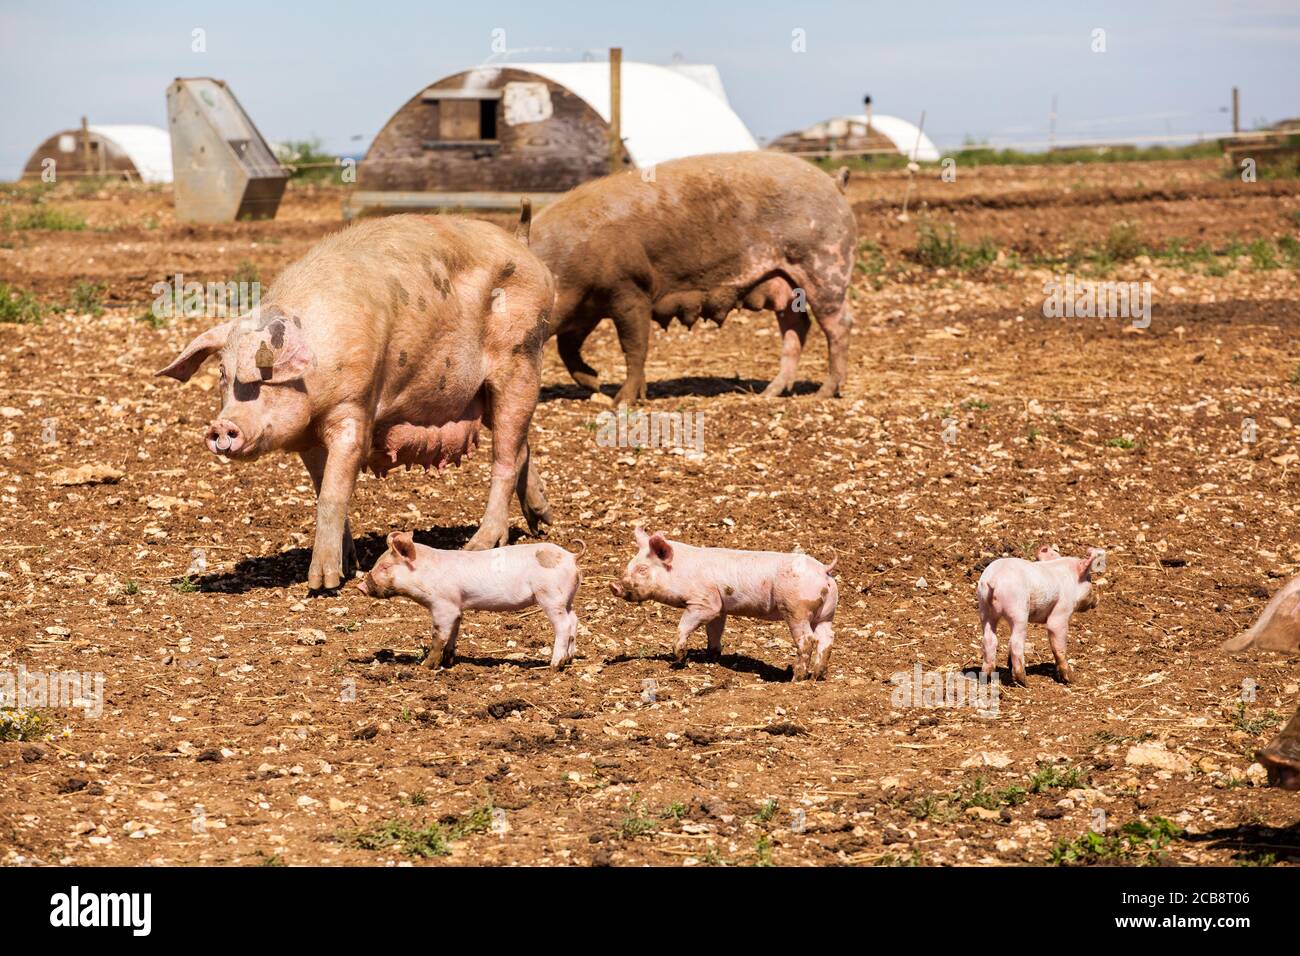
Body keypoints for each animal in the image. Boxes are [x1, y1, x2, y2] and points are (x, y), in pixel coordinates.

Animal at [156, 212, 555, 591]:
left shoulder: (354, 409)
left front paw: (322, 583)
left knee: (504, 457)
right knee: (520, 445)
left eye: (266, 371)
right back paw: (542, 522)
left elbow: (333, 493)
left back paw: (479, 545)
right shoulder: (308, 441)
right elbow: (325, 490)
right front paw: (348, 564)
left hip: (520, 360)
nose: (222, 426)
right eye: (223, 373)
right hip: (483, 393)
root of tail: (526, 250)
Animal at [358, 531, 583, 669]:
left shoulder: (443, 605)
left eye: (385, 567)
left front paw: (426, 666)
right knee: (574, 620)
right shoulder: (457, 608)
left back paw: (554, 665)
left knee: (563, 625)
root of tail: (571, 556)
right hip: (566, 599)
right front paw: (448, 662)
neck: (424, 573)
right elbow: (454, 632)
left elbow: (438, 635)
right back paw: (569, 659)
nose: (360, 586)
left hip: (551, 596)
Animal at [531, 151, 857, 405]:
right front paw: (597, 384)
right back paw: (769, 394)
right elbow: (568, 349)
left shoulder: (630, 291)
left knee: (838, 324)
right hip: (785, 282)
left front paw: (621, 401)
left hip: (825, 267)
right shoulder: (585, 310)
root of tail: (835, 182)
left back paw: (823, 393)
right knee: (797, 327)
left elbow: (634, 347)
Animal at [610, 527, 839, 680]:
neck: (679, 570)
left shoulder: (704, 603)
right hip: (826, 613)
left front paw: (679, 660)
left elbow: (684, 627)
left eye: (642, 569)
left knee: (807, 640)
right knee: (826, 638)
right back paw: (816, 676)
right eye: (630, 564)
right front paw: (711, 658)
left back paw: (795, 679)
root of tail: (823, 570)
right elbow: (714, 632)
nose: (614, 586)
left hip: (796, 609)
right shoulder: (721, 608)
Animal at [977, 547, 1106, 685]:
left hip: (984, 608)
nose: (1097, 600)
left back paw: (986, 677)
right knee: (1016, 641)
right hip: (1018, 608)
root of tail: (994, 579)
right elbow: (1057, 638)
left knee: (989, 639)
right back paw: (1023, 681)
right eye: (1089, 579)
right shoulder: (1062, 609)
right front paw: (1070, 680)